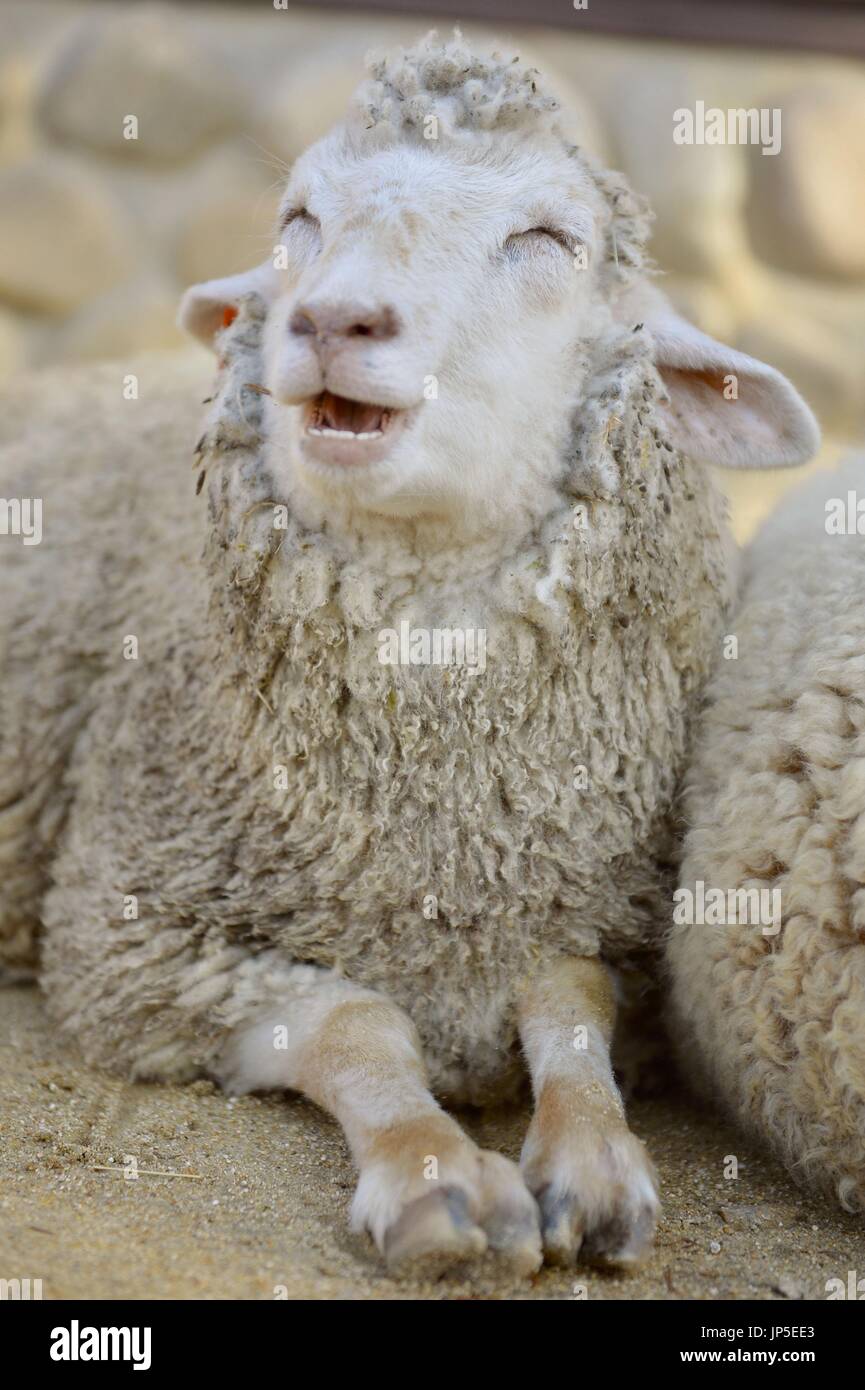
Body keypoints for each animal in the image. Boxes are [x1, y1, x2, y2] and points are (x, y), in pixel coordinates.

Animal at [0, 31, 819, 1278]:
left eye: (549, 239)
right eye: (297, 219)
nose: (333, 321)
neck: (441, 824)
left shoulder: (594, 911)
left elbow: (568, 1000)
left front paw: (593, 1163)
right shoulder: (126, 935)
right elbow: (356, 1019)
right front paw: (437, 1178)